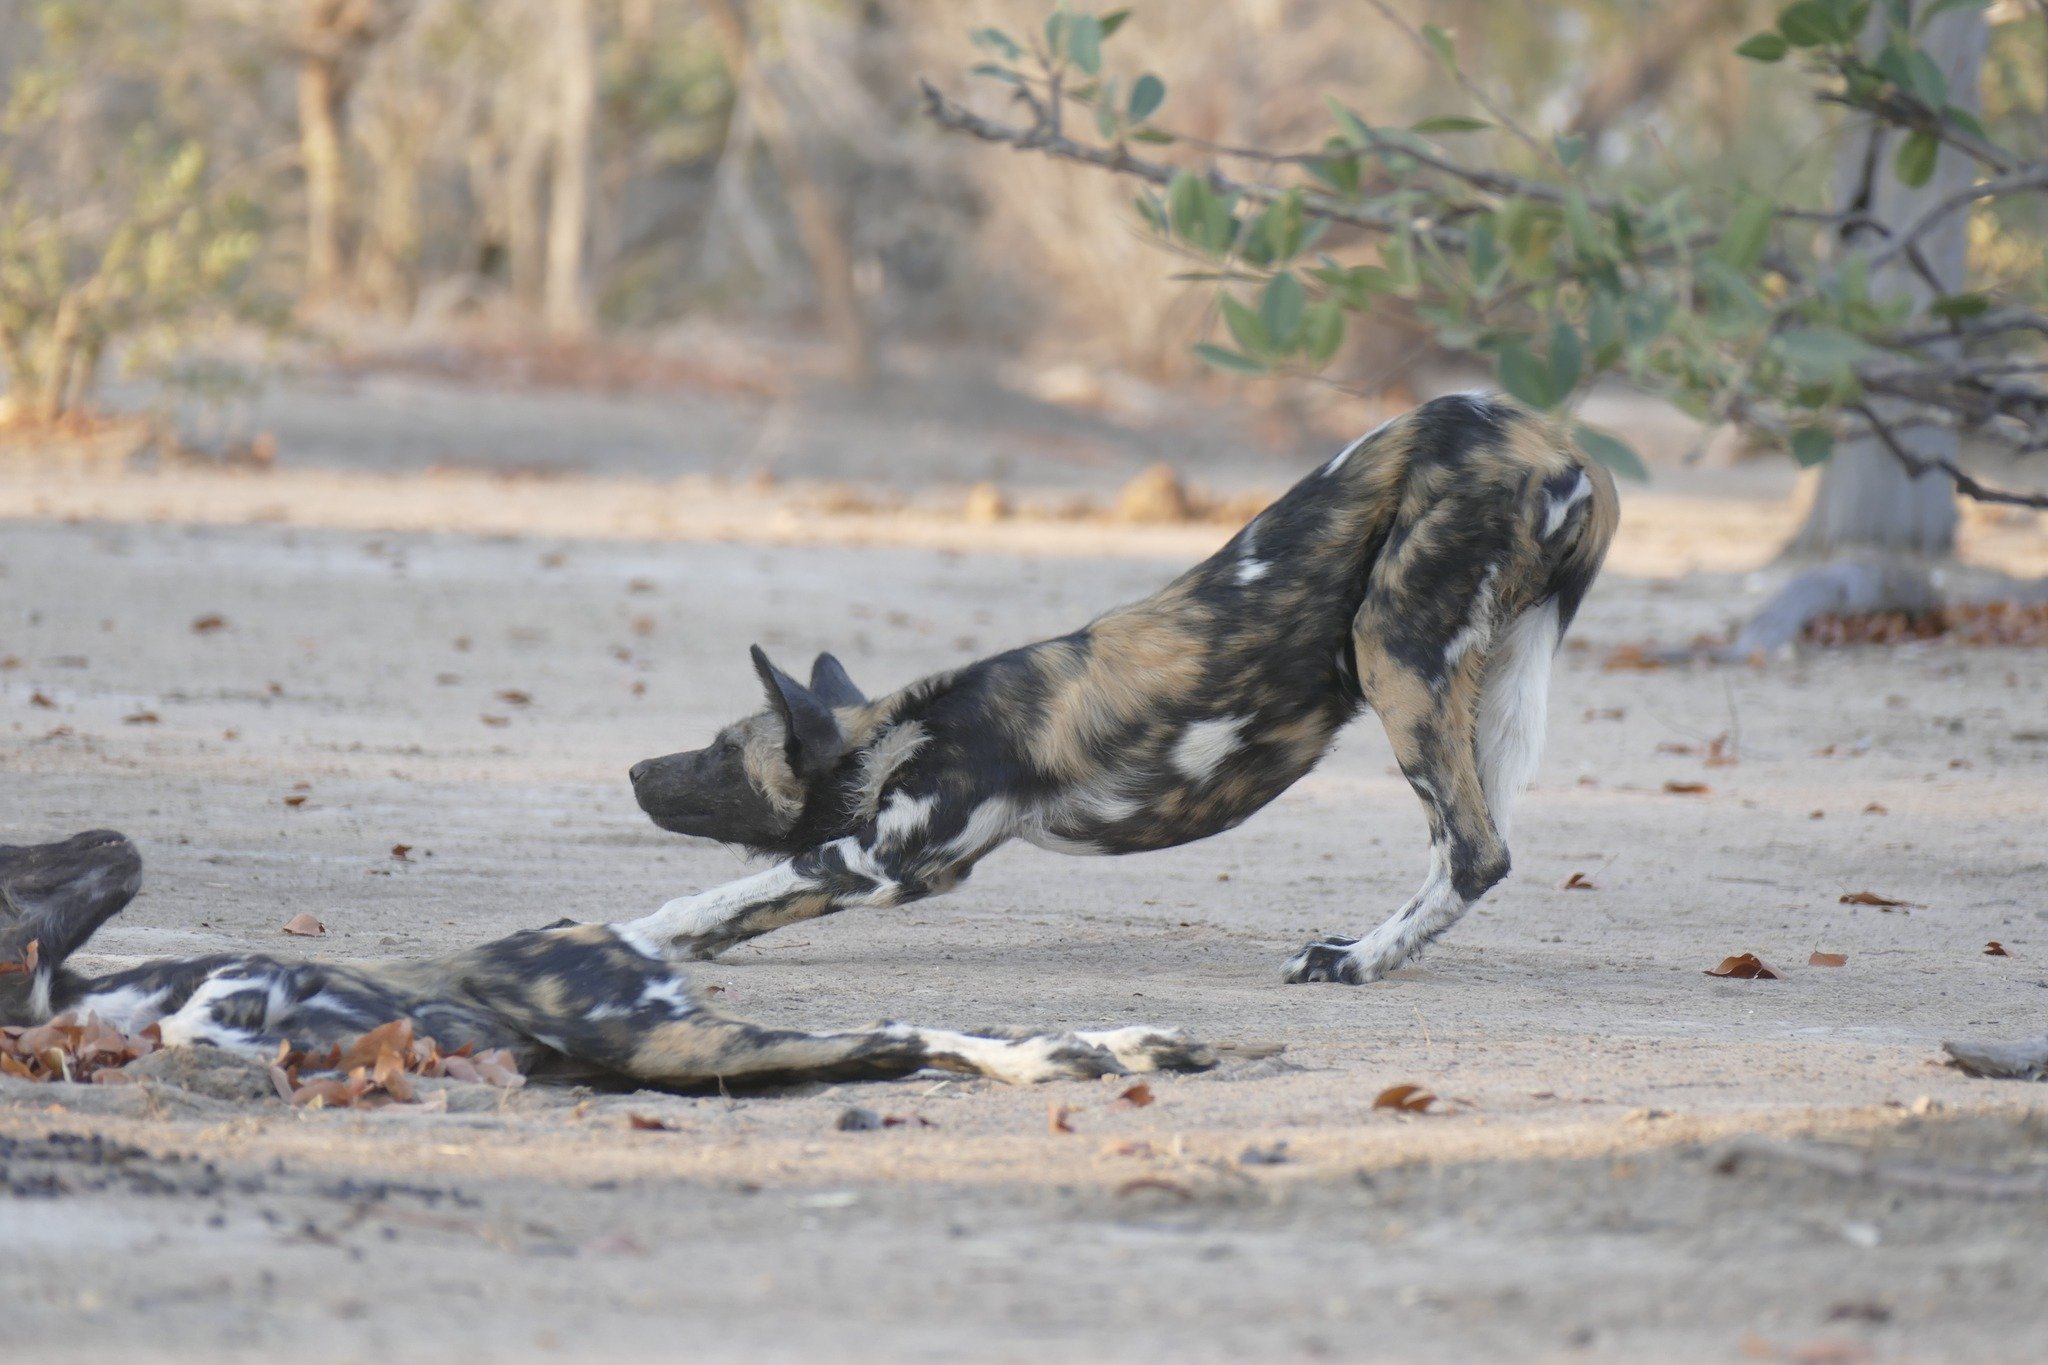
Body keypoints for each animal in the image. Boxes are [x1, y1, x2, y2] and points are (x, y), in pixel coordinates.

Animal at [630, 392, 1622, 982]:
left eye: (718, 752)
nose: (636, 769)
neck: (897, 732)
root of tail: (1556, 442)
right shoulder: (914, 863)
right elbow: (724, 914)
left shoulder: (885, 859)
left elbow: (709, 897)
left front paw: (623, 939)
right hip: (1474, 676)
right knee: (1470, 841)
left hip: (1395, 652)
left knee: (1475, 850)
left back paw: (1352, 962)